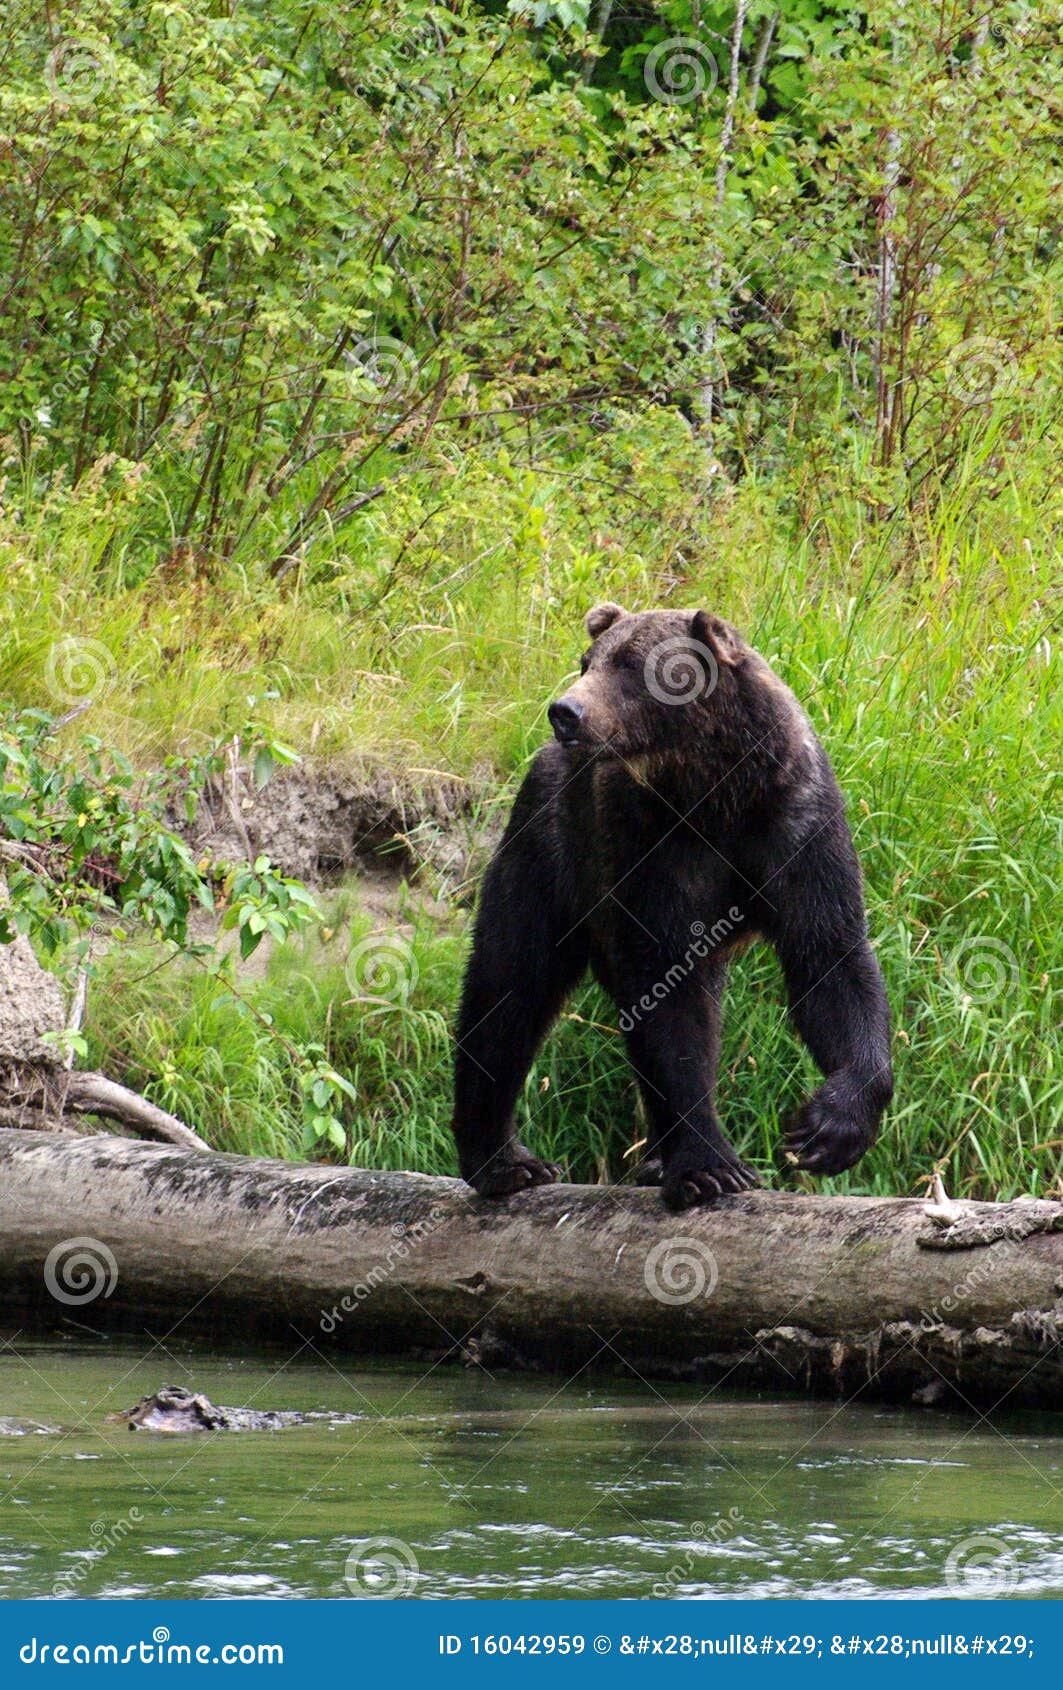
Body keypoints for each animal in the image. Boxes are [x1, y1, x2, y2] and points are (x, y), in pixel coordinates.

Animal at [451, 604, 892, 1211]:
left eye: (630, 664)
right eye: (588, 660)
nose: (566, 712)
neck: (710, 790)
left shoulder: (795, 821)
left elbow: (831, 957)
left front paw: (829, 1128)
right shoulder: (648, 844)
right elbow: (667, 992)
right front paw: (712, 1166)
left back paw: (653, 1159)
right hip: (548, 851)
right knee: (508, 990)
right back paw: (504, 1161)